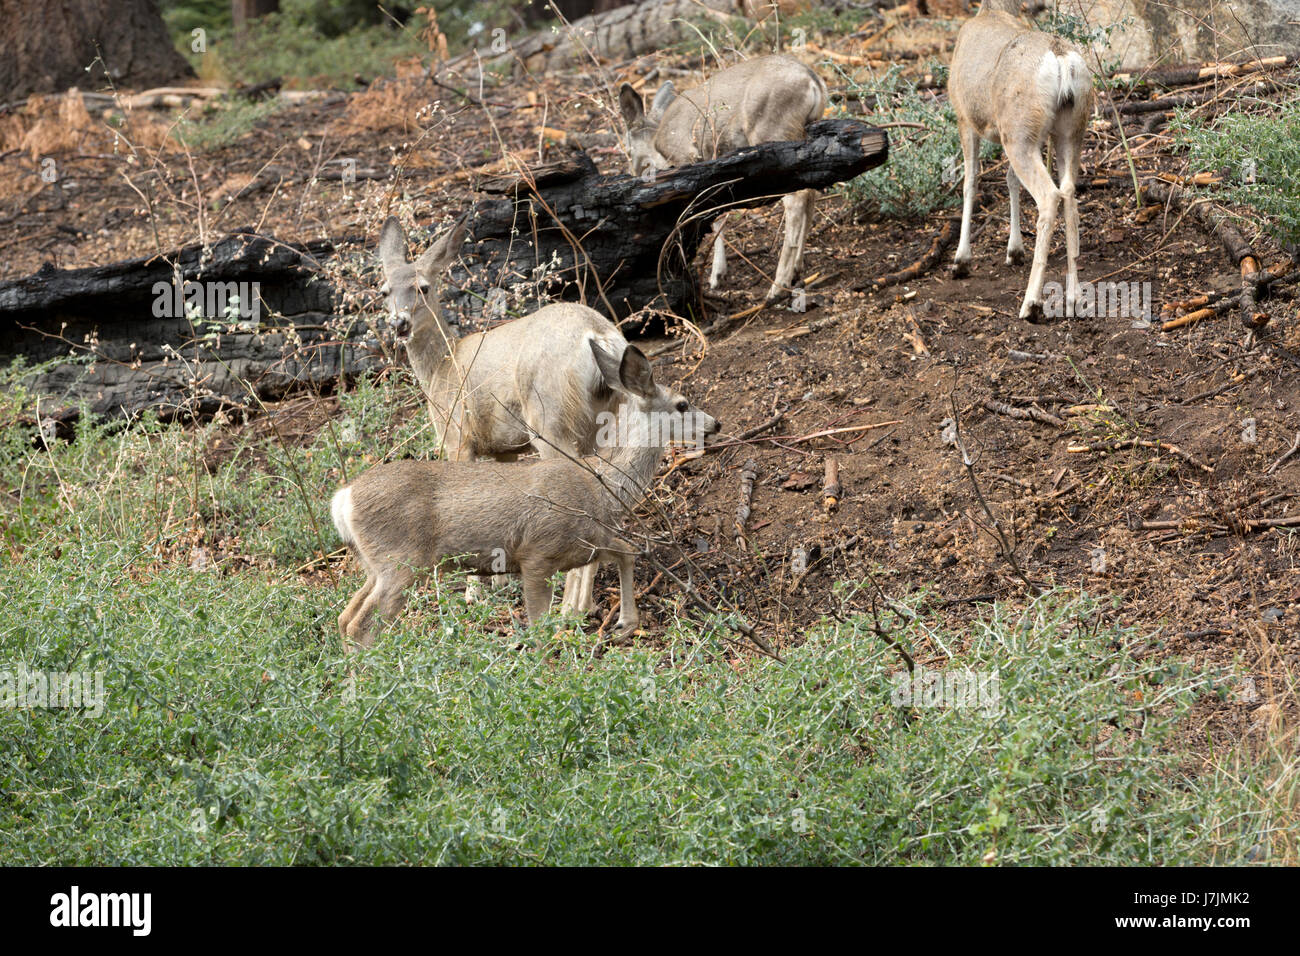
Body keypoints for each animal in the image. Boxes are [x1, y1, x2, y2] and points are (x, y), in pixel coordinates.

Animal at [331, 340, 720, 650]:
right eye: (683, 404)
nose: (716, 423)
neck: (600, 489)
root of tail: (343, 499)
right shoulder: (537, 553)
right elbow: (539, 631)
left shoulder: (584, 544)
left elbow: (627, 551)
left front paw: (626, 623)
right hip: (401, 561)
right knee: (360, 624)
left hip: (375, 564)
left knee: (344, 617)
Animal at [376, 214, 631, 618]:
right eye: (385, 291)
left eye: (423, 288)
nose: (399, 325)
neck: (442, 368)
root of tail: (600, 336)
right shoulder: (504, 449)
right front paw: (498, 581)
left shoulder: (458, 436)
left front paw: (473, 593)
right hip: (605, 419)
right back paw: (580, 604)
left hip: (550, 418)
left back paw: (570, 608)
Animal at [618, 53, 828, 301]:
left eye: (628, 148)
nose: (634, 172)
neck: (658, 145)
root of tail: (813, 81)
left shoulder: (689, 155)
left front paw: (716, 274)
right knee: (810, 192)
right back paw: (797, 269)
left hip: (774, 132)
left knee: (797, 199)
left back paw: (777, 286)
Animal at [948, 0, 1094, 322]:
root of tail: (1060, 58)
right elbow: (1010, 180)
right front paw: (1014, 250)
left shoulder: (964, 117)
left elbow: (970, 182)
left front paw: (961, 259)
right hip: (1069, 129)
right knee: (1069, 194)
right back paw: (1074, 298)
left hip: (1018, 130)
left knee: (1049, 195)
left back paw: (1031, 304)